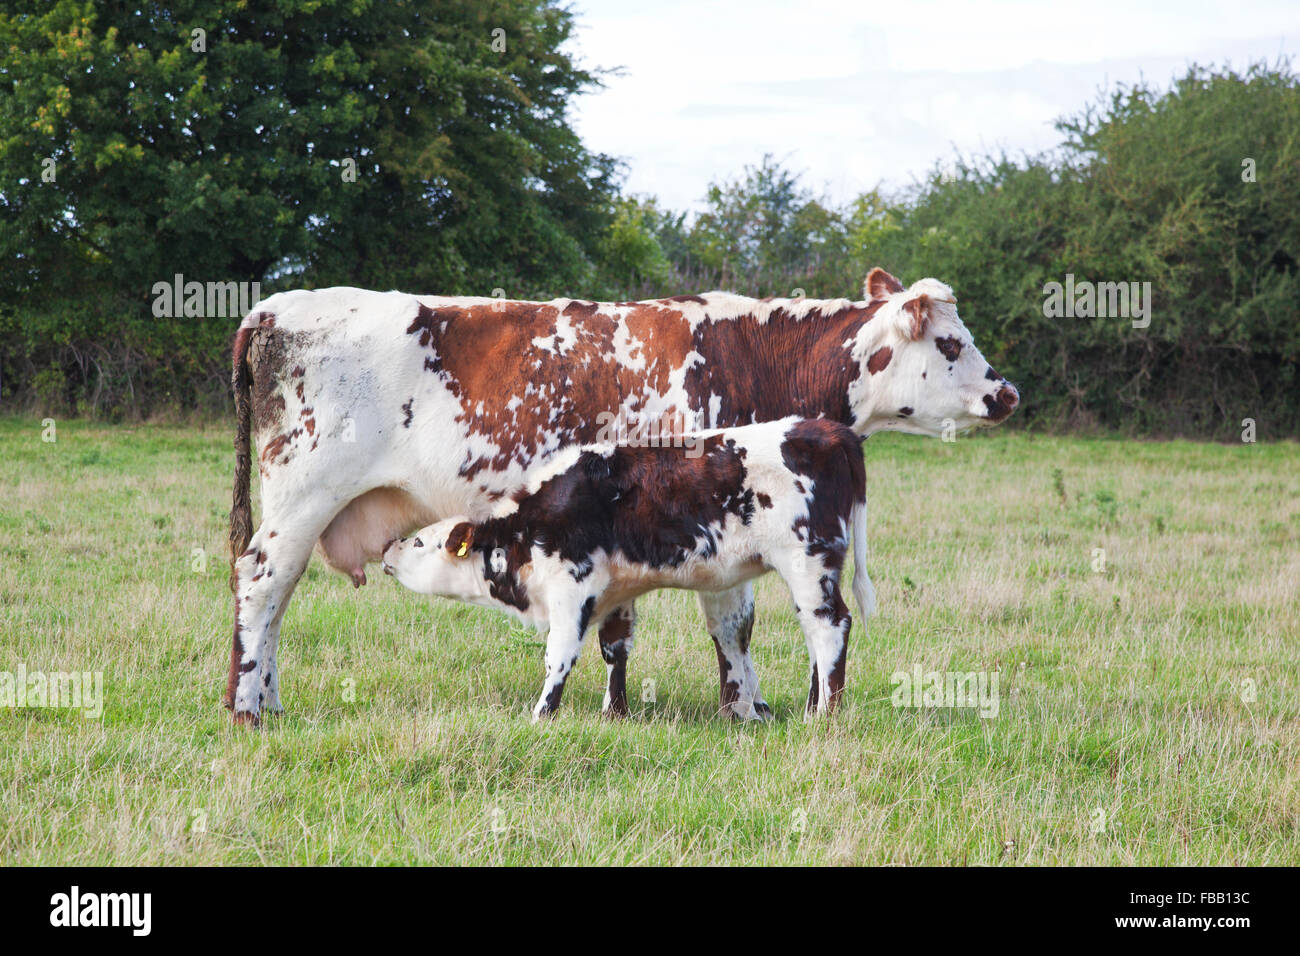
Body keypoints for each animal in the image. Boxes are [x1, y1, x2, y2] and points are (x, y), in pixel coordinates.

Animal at [380, 417, 872, 720]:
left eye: (420, 540)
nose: (387, 548)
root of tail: (829, 429)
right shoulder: (616, 591)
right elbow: (614, 648)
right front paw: (614, 713)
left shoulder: (572, 586)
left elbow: (559, 654)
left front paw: (542, 714)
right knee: (813, 633)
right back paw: (810, 709)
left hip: (809, 560)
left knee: (830, 626)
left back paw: (824, 715)